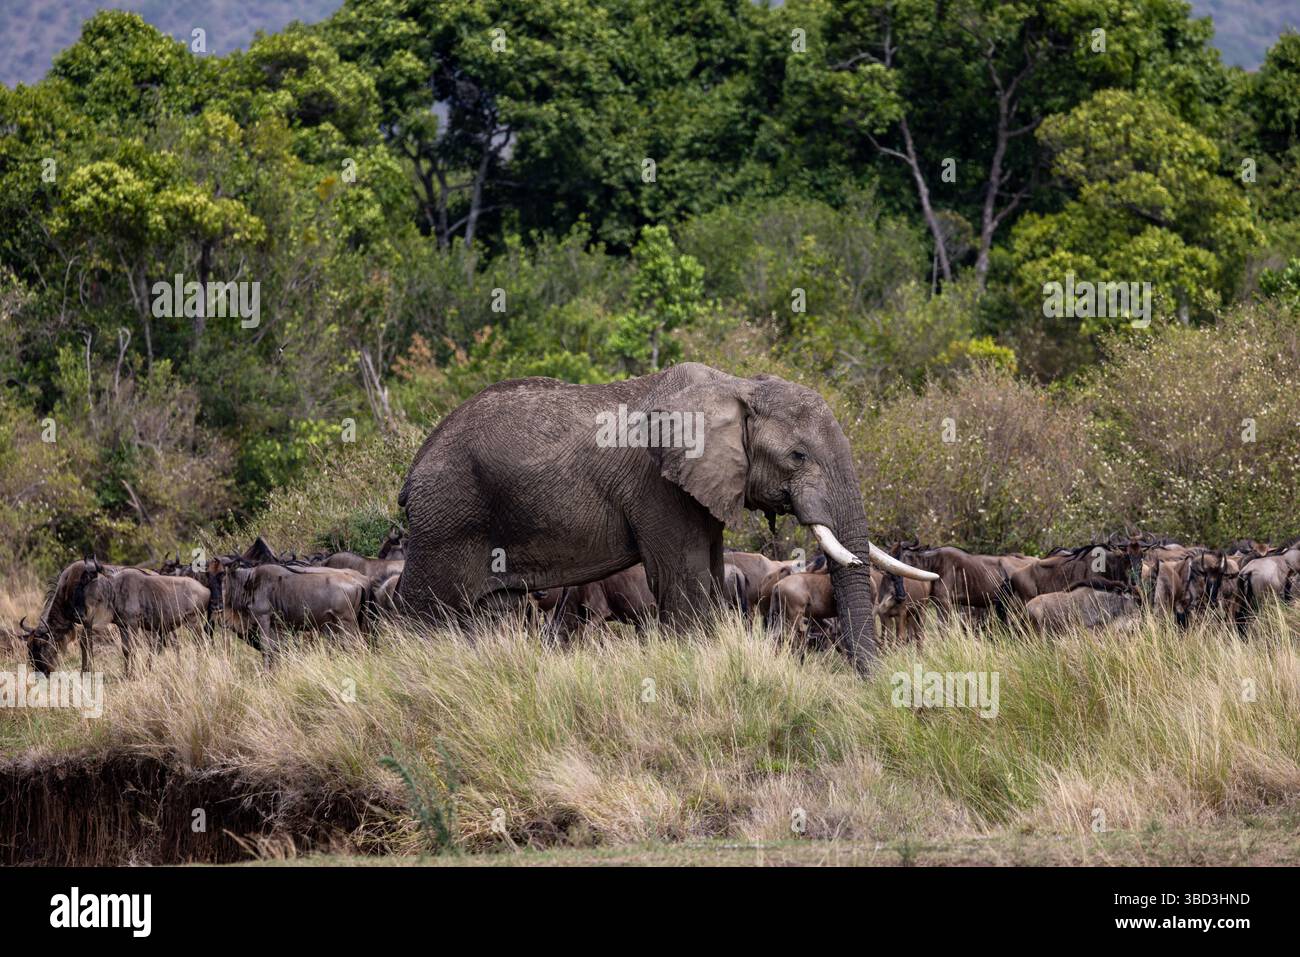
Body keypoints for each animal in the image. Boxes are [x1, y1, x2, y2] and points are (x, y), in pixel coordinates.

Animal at [396, 362, 934, 671]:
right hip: (448, 517)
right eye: (798, 456)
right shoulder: (659, 486)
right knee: (423, 609)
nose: (868, 683)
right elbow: (686, 578)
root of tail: (415, 464)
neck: (737, 386)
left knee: (489, 613)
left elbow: (711, 573)